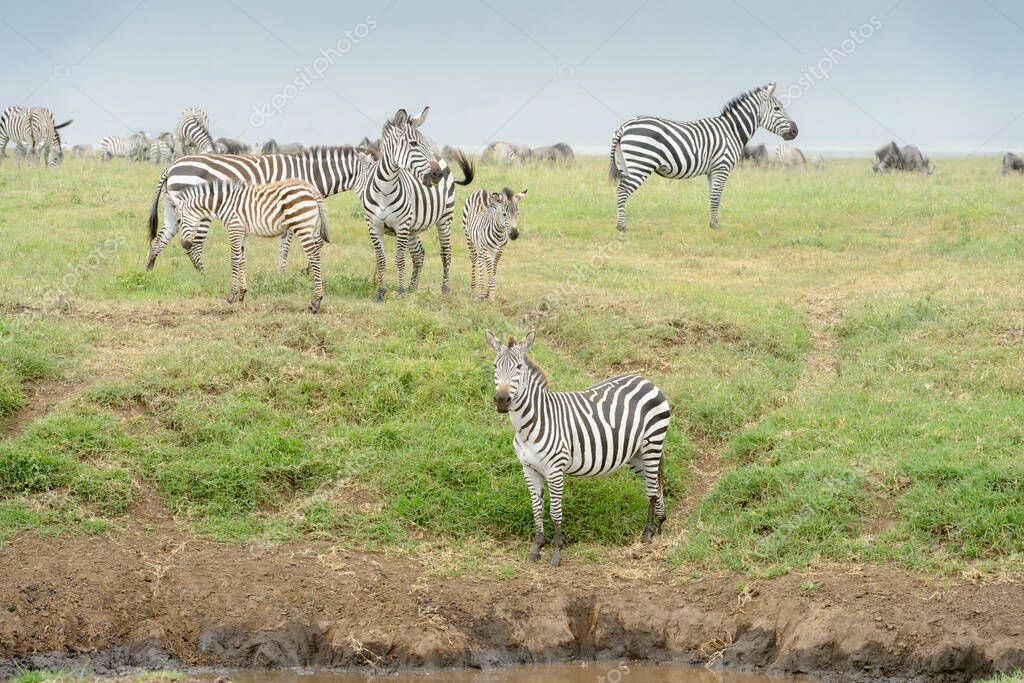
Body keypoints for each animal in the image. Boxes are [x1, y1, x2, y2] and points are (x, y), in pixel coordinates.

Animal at [146, 145, 374, 272]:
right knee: (193, 246)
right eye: (376, 178)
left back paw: (149, 272)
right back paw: (206, 276)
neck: (307, 175)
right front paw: (283, 274)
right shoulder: (291, 211)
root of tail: (171, 165)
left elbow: (316, 241)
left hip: (173, 209)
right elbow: (288, 246)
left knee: (160, 239)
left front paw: (304, 270)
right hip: (196, 212)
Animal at [176, 179, 329, 313]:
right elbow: (241, 259)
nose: (184, 245)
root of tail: (312, 189)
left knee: (314, 256)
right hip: (311, 227)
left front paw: (231, 296)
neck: (223, 204)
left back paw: (315, 302)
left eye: (179, 221)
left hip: (302, 226)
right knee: (317, 251)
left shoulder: (234, 230)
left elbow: (234, 259)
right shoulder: (242, 233)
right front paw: (242, 294)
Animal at [359, 106, 474, 301]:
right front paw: (381, 293)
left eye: (425, 143)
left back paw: (444, 289)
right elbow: (381, 260)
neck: (385, 190)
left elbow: (399, 259)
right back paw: (412, 288)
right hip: (413, 228)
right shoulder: (374, 226)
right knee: (418, 254)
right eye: (413, 144)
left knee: (446, 253)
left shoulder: (402, 225)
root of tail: (440, 157)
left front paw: (399, 291)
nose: (438, 174)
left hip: (444, 218)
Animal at [485, 330, 672, 566]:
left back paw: (647, 534)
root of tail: (646, 380)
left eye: (519, 367)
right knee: (655, 483)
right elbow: (536, 509)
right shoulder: (529, 469)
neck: (531, 424)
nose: (502, 400)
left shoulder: (555, 470)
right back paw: (659, 524)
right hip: (636, 454)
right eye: (494, 366)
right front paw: (537, 547)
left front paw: (556, 552)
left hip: (652, 443)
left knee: (651, 490)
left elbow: (555, 512)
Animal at [609, 82, 798, 231]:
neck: (732, 131)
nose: (795, 131)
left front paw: (712, 223)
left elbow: (713, 196)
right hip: (641, 164)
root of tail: (625, 125)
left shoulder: (712, 171)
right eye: (777, 109)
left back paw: (620, 224)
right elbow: (716, 196)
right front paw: (715, 226)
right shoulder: (722, 167)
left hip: (626, 164)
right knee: (622, 191)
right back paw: (622, 227)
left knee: (620, 190)